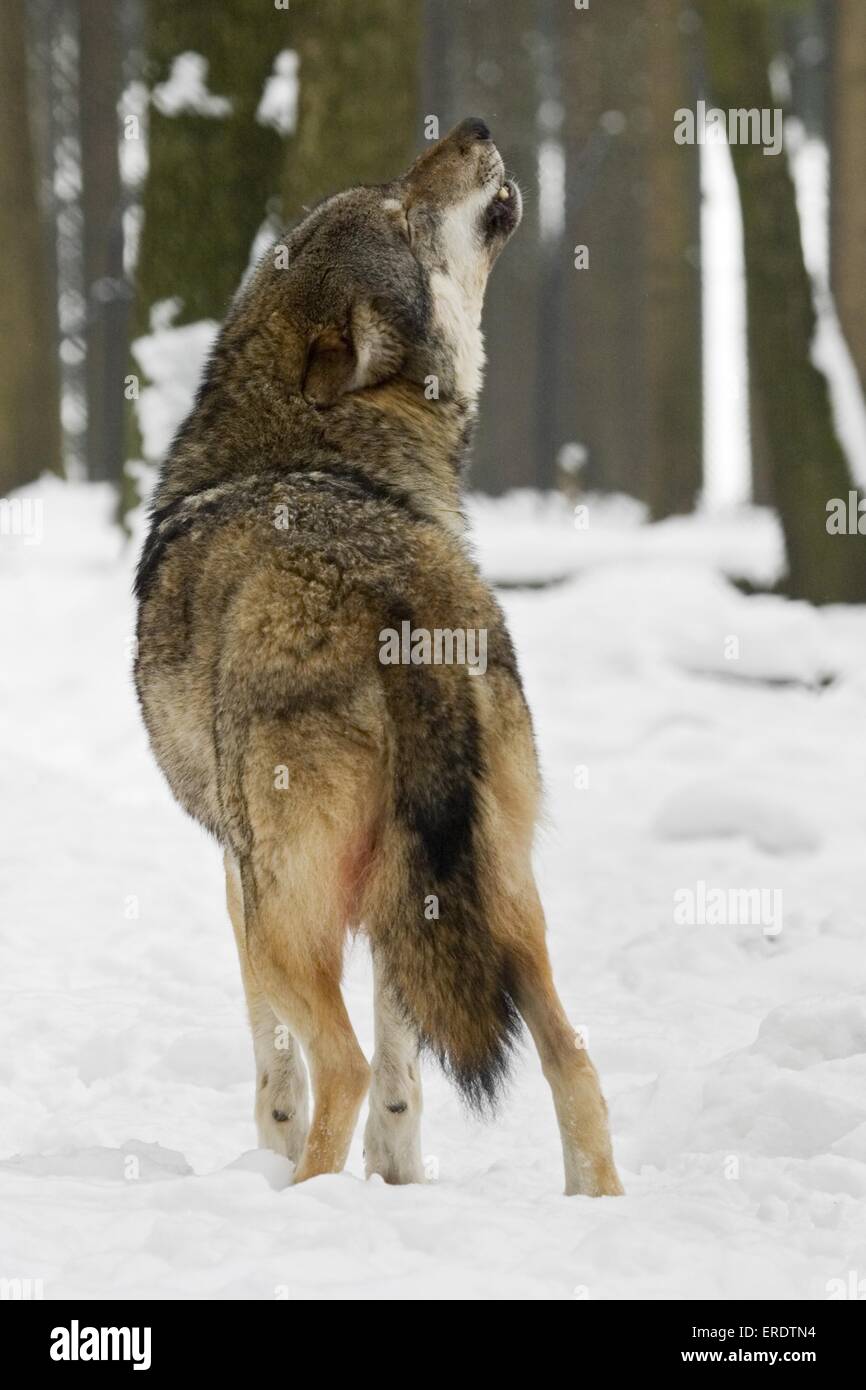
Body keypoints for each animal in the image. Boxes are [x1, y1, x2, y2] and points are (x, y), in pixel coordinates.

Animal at [135, 118, 623, 1197]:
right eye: (398, 203)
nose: (474, 128)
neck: (317, 448)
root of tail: (393, 600)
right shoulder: (401, 894)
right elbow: (408, 1067)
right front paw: (399, 1180)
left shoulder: (235, 879)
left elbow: (276, 1072)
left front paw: (280, 1156)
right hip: (501, 885)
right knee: (570, 1053)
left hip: (286, 912)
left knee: (342, 1065)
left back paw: (301, 1197)